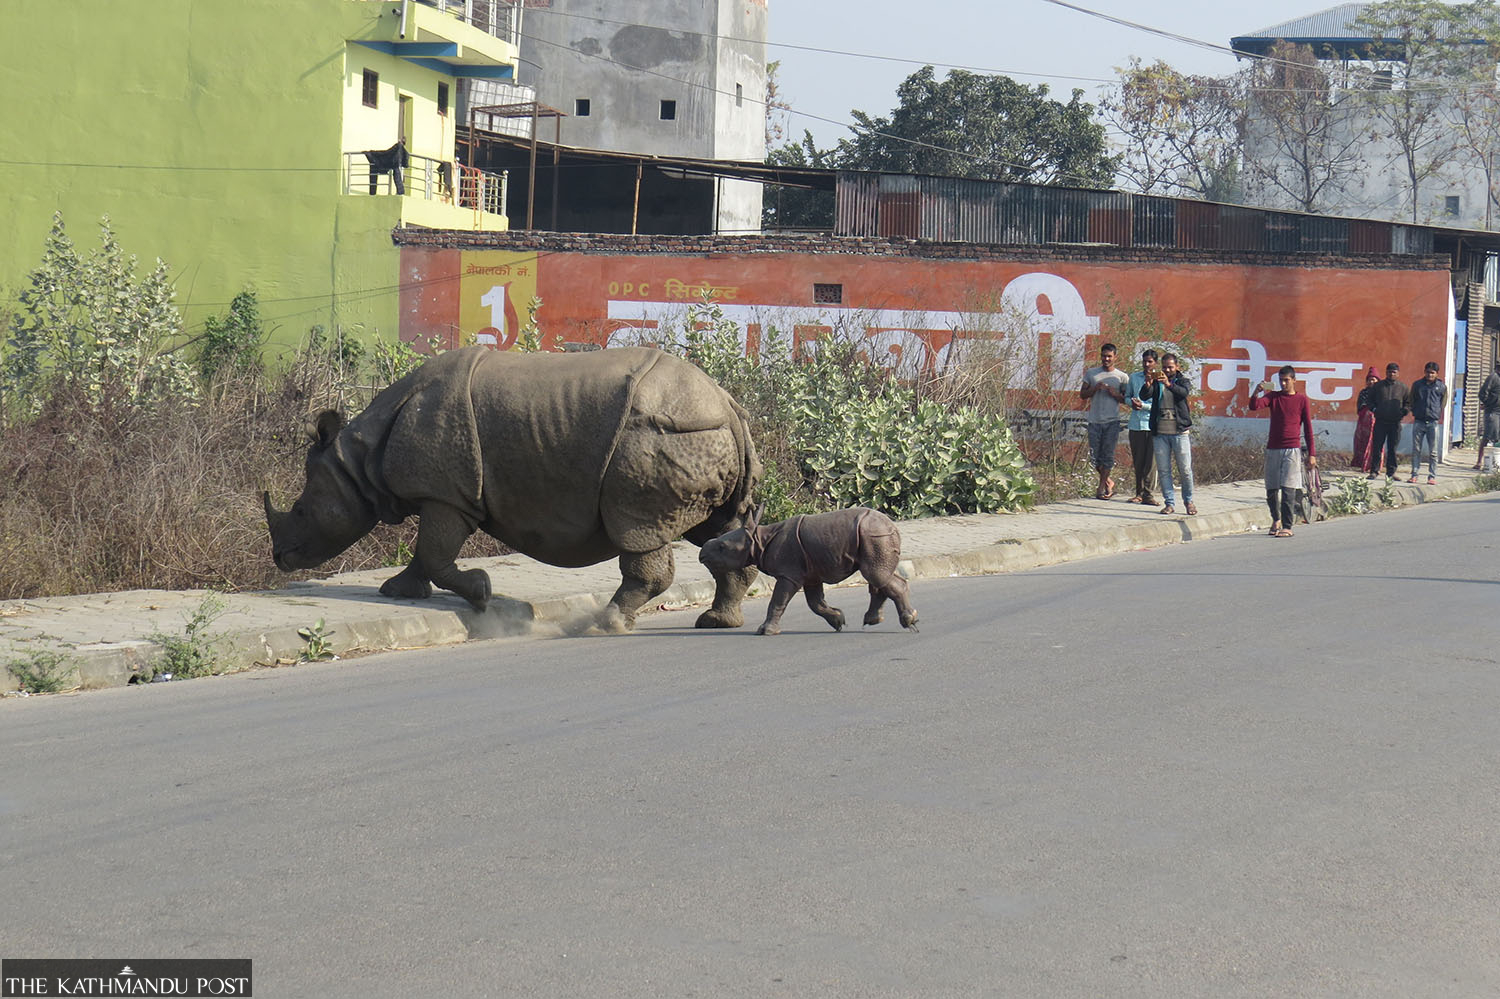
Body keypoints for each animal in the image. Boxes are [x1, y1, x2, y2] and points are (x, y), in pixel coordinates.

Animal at [264, 346, 762, 630]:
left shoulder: (447, 494)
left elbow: (435, 553)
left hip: (661, 437)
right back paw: (717, 622)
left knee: (637, 529)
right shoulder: (443, 494)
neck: (358, 459)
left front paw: (482, 594)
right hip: (701, 434)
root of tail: (728, 404)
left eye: (301, 511)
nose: (280, 557)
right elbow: (425, 554)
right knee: (721, 528)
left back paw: (605, 624)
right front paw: (398, 591)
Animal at [698, 506, 919, 636]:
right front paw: (838, 621)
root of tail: (892, 525)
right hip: (873, 538)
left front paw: (766, 631)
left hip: (874, 535)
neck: (757, 539)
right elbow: (815, 603)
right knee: (877, 574)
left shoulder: (788, 574)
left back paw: (910, 621)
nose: (702, 554)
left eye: (722, 547)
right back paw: (873, 621)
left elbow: (778, 600)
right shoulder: (811, 574)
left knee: (875, 574)